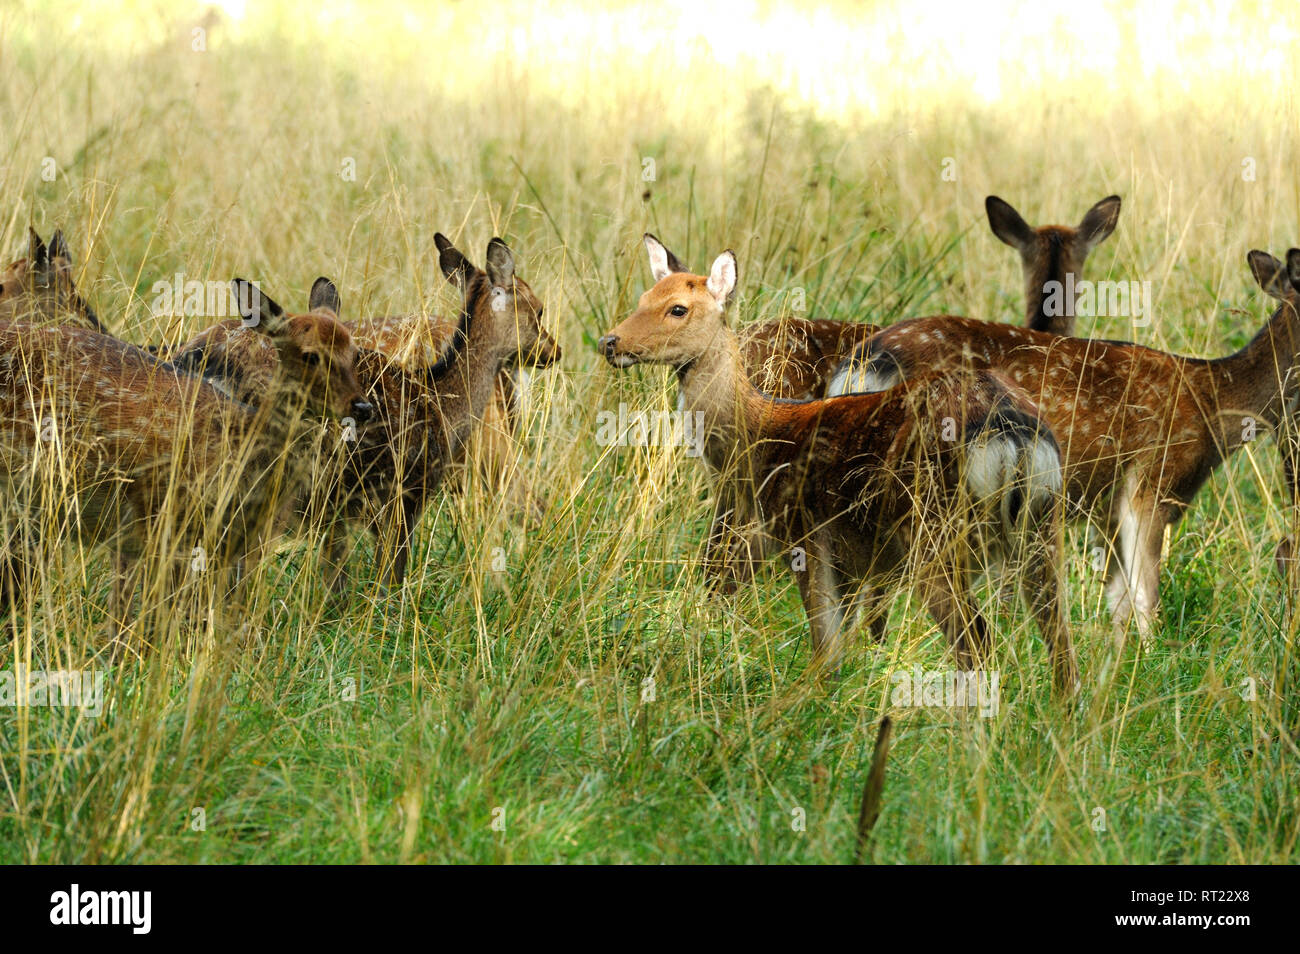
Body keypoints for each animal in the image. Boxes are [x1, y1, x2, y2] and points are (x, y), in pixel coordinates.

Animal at [597, 234, 1076, 690]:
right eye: (644, 297)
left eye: (678, 308)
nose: (609, 341)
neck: (759, 437)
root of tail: (1011, 432)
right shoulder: (849, 559)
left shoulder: (806, 535)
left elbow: (825, 647)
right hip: (1042, 526)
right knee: (1060, 649)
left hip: (933, 531)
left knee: (975, 641)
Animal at [825, 247, 1300, 640]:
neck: (1211, 406)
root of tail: (866, 361)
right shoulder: (1151, 484)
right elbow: (1147, 600)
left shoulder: (1107, 509)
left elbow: (1118, 604)